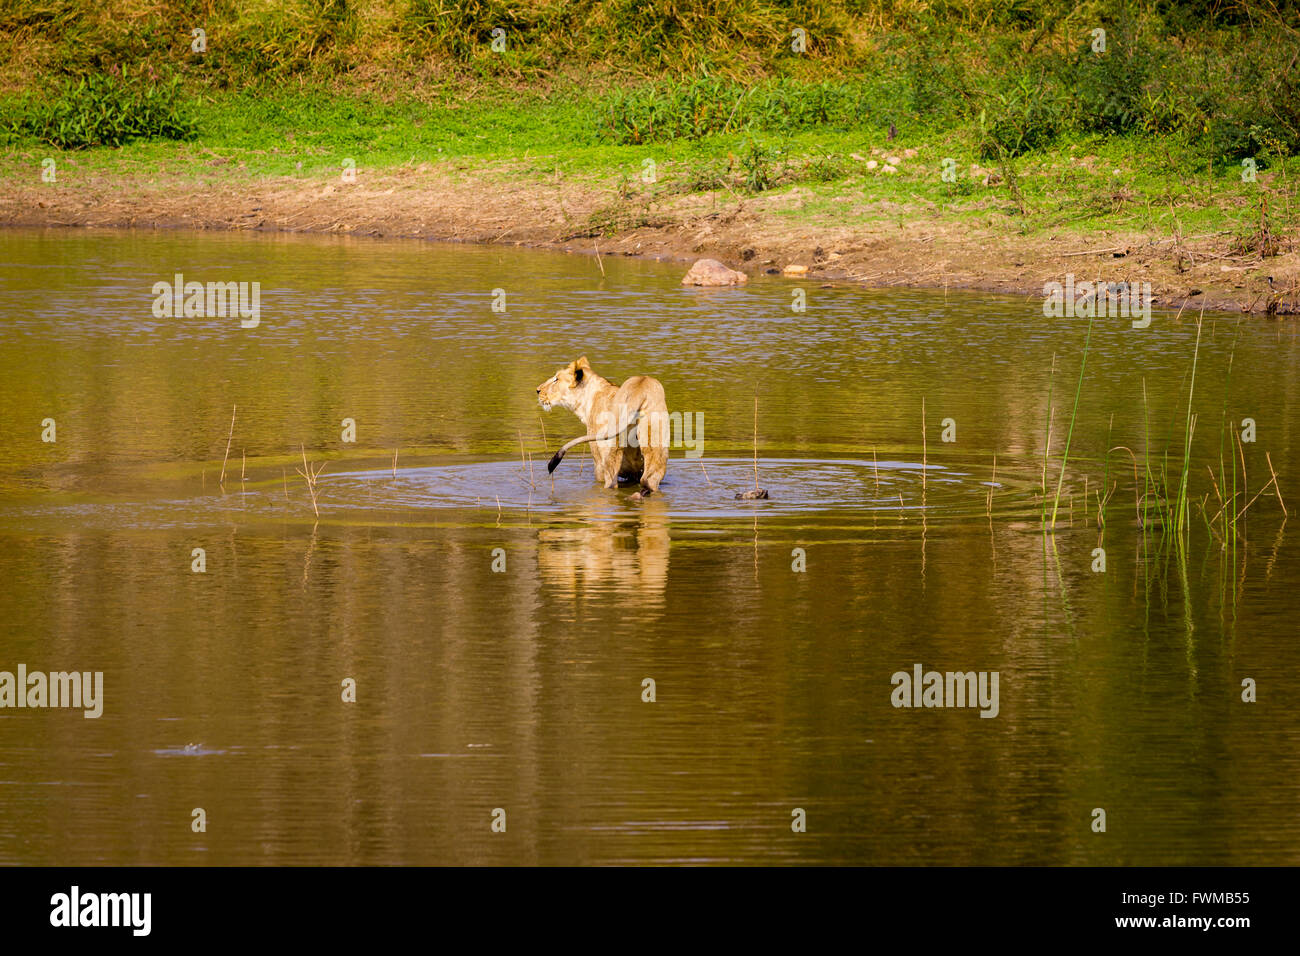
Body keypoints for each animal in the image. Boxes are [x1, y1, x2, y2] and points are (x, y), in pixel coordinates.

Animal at [537, 356, 669, 497]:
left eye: (556, 379)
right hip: (655, 444)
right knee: (649, 481)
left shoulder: (598, 462)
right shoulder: (634, 472)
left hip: (608, 452)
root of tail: (640, 388)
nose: (538, 390)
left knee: (611, 484)